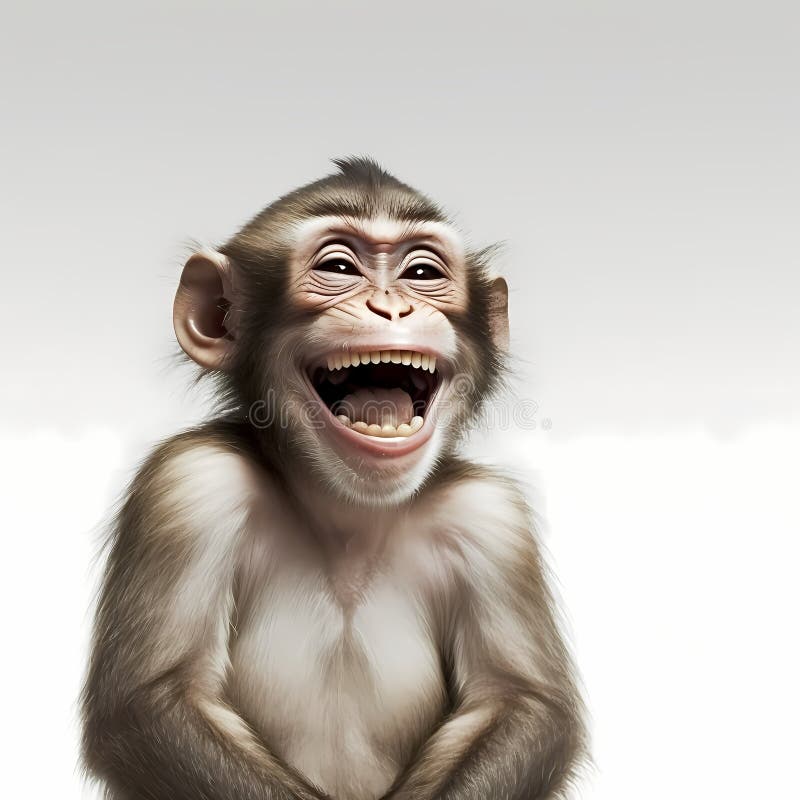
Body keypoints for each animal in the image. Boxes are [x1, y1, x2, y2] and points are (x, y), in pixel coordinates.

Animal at [81, 157, 586, 800]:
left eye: (423, 273)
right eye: (338, 268)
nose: (392, 307)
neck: (345, 512)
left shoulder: (491, 520)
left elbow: (515, 699)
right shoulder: (187, 486)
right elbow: (158, 696)